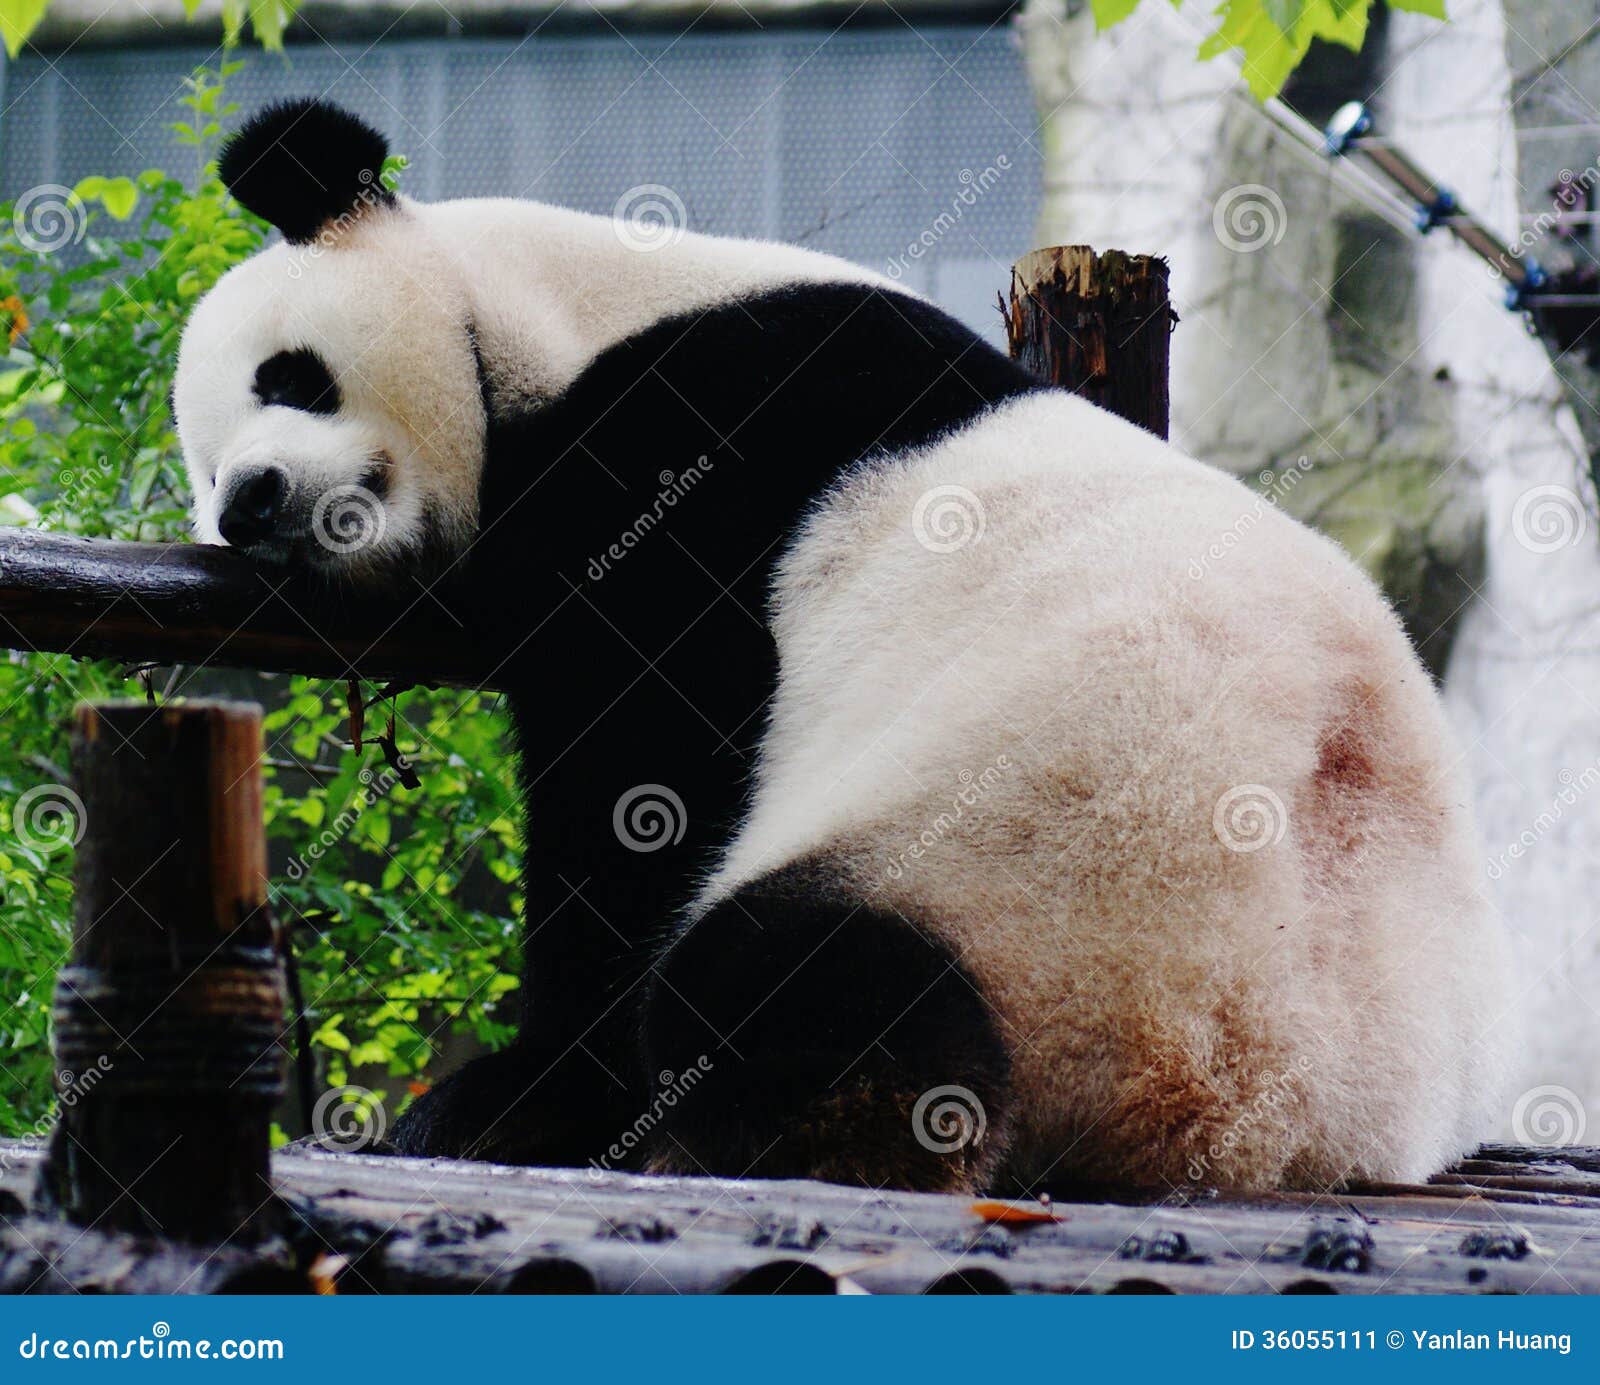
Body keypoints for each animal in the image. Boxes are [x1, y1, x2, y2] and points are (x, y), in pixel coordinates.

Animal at [173, 98, 1519, 1194]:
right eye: (200, 466)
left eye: (289, 376)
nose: (249, 503)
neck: (548, 309)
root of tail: (1239, 1114)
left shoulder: (697, 439)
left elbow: (648, 771)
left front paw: (526, 1085)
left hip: (1018, 879)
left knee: (800, 984)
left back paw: (789, 1124)